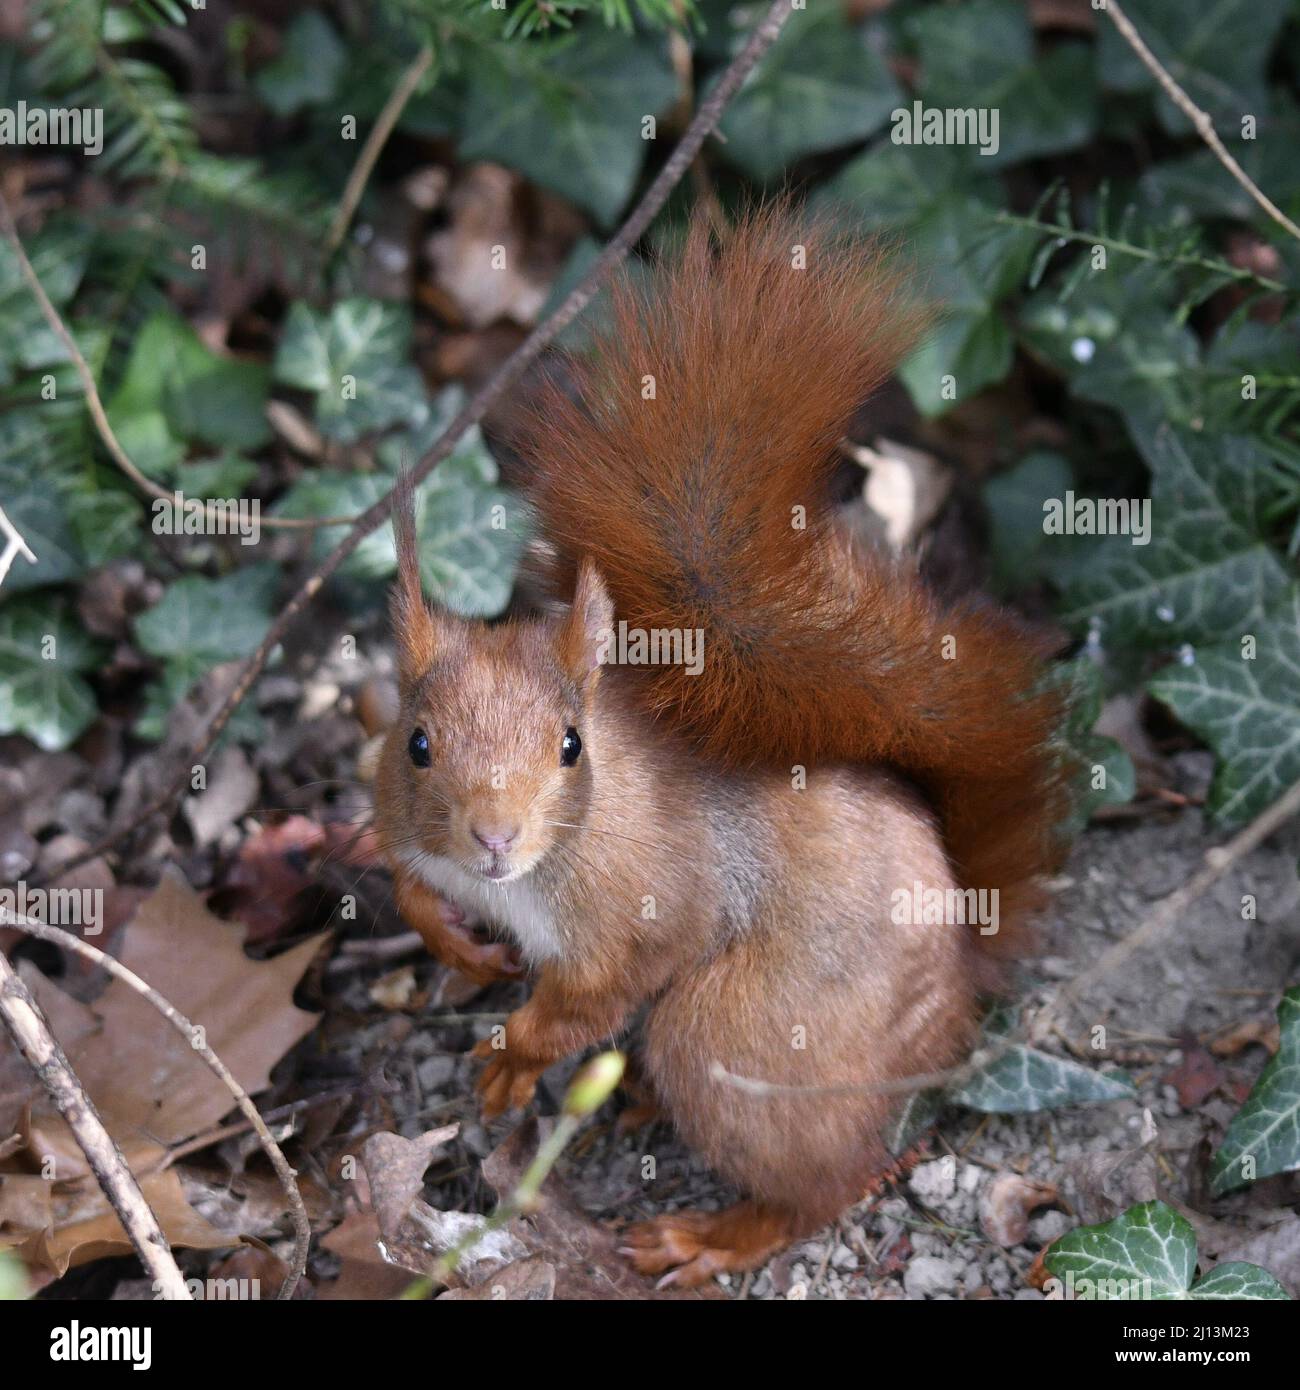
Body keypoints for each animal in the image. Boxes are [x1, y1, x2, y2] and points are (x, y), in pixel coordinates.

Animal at [374, 204, 1067, 1287]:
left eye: (570, 746)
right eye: (416, 744)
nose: (492, 838)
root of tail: (961, 968)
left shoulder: (642, 909)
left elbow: (593, 997)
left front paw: (513, 1053)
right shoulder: (397, 819)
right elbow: (399, 874)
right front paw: (453, 941)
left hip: (744, 1031)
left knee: (820, 1181)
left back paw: (710, 1233)